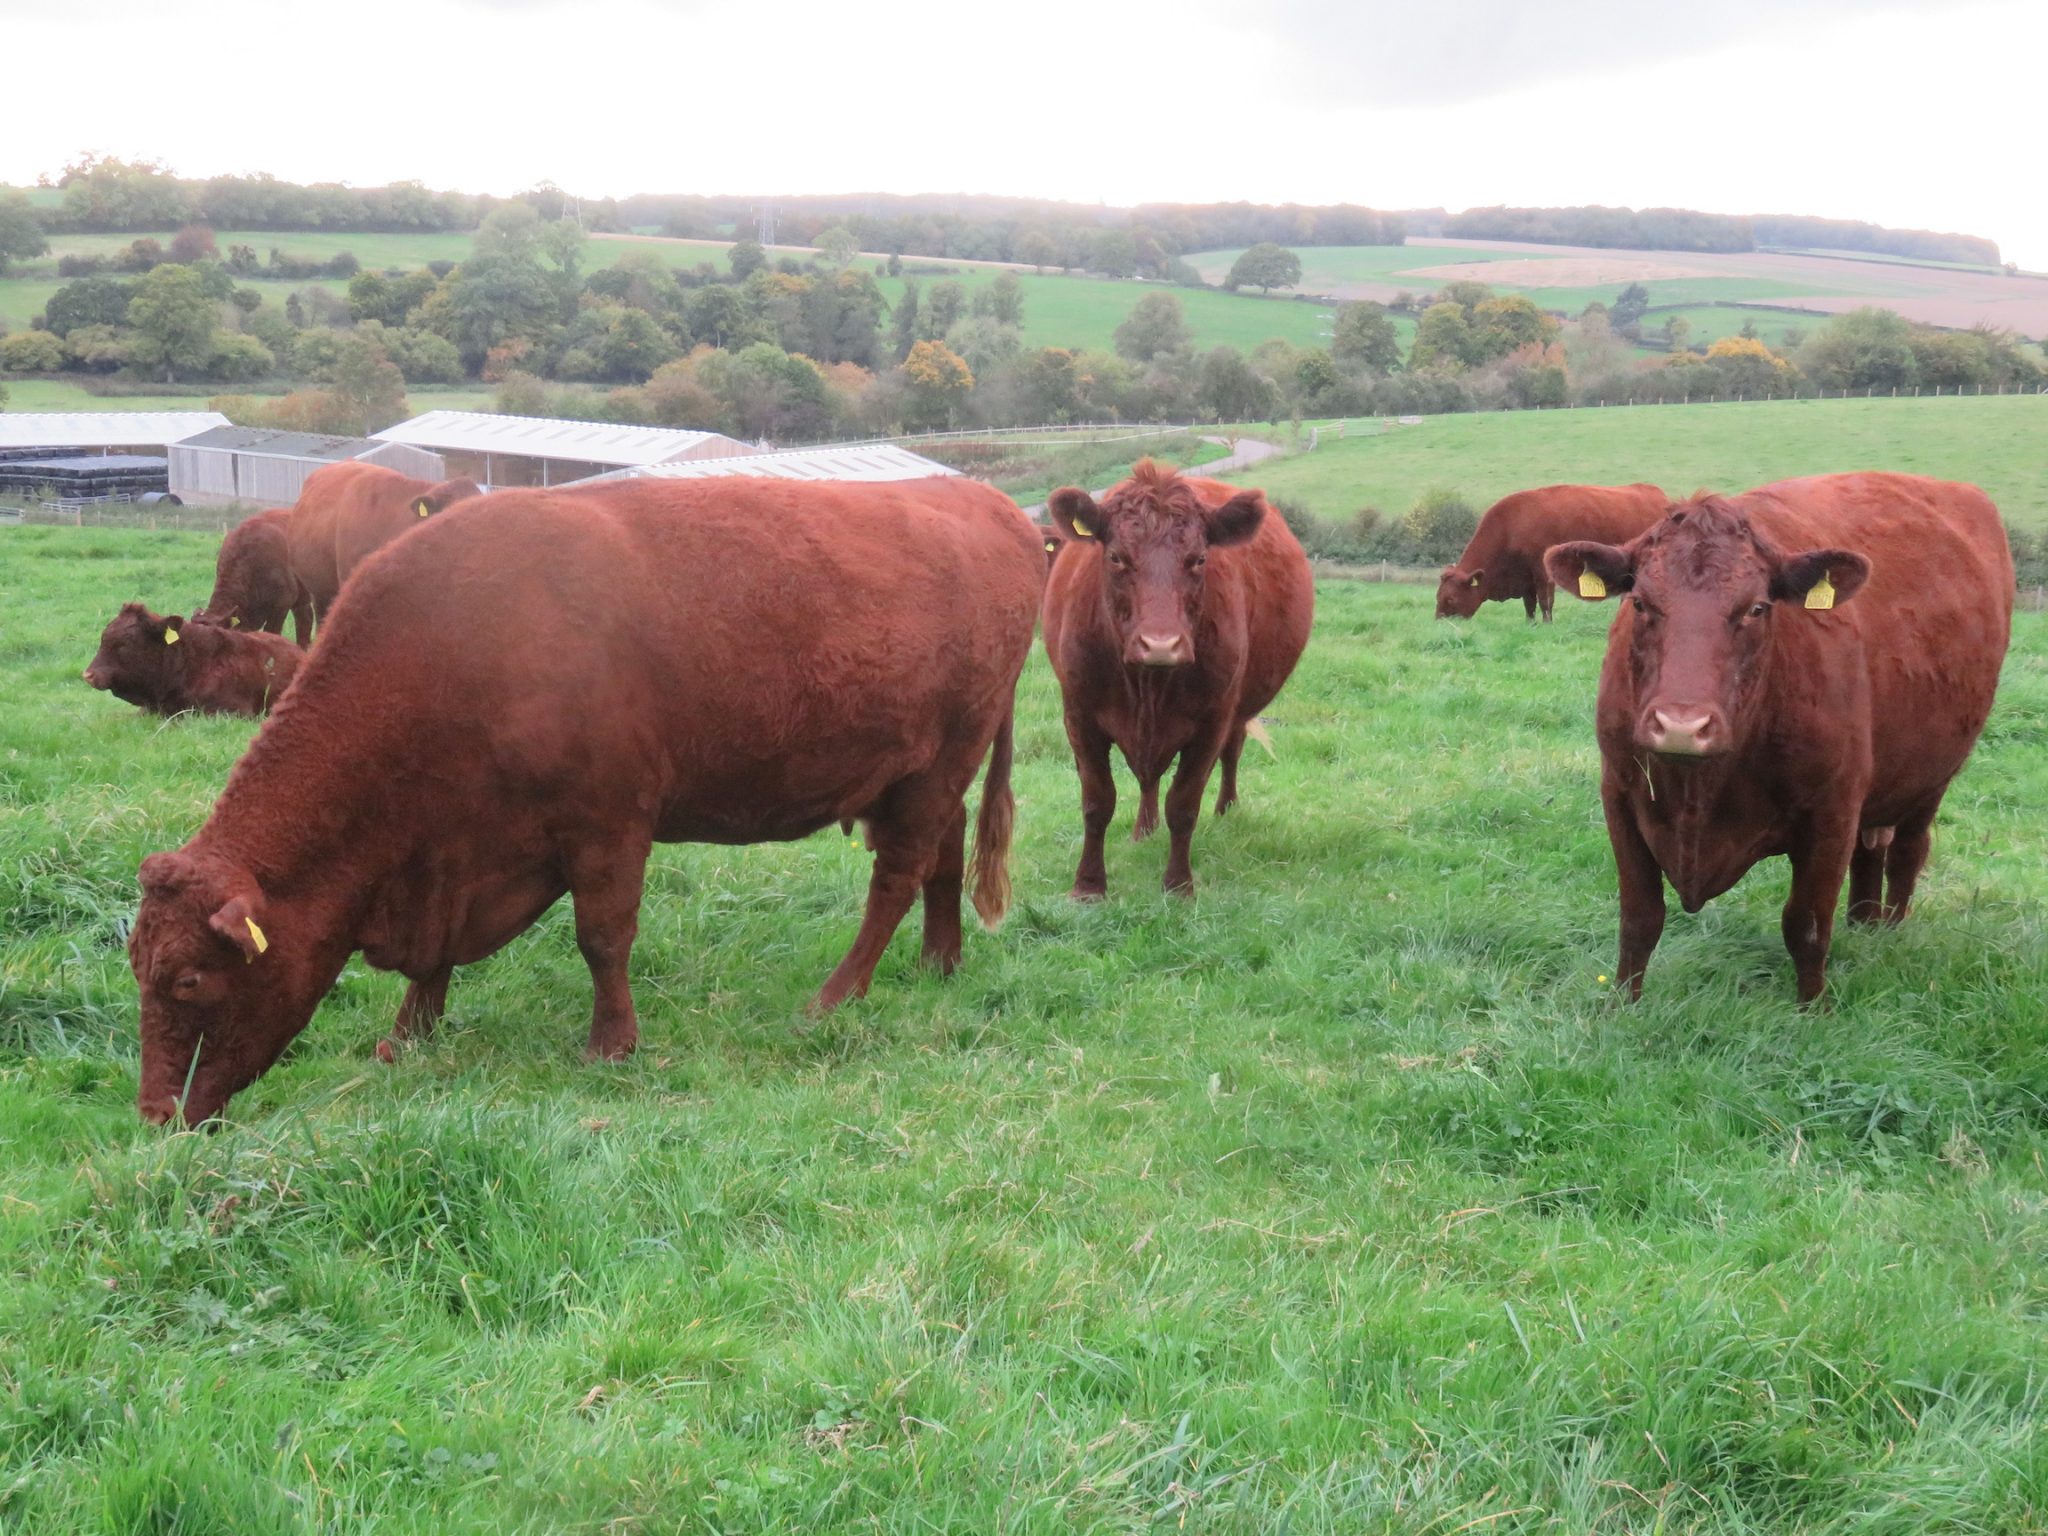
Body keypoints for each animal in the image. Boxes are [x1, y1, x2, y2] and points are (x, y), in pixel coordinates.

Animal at [1041, 459, 1313, 898]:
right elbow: (1097, 801)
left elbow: (1184, 805)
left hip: (1237, 712)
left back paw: (1226, 812)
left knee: (1231, 755)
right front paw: (1088, 886)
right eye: (1116, 557)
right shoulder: (1079, 715)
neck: (1146, 687)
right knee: (1147, 781)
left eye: (1199, 558)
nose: (1160, 645)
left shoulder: (1212, 721)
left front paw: (1178, 885)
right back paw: (1143, 830)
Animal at [1437, 483, 1667, 621]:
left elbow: (1544, 601)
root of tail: (1657, 495)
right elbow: (1529, 605)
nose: (1439, 622)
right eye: (1438, 596)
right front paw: (1531, 624)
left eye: (1451, 598)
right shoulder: (1526, 577)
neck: (1511, 526)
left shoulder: (1542, 572)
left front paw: (1547, 623)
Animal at [1544, 472, 2012, 1003]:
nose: (1682, 725)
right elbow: (1640, 918)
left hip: (1930, 780)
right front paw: (1623, 1004)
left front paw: (1814, 1009)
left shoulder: (1831, 812)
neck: (1699, 792)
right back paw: (1864, 926)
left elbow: (1806, 925)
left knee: (1907, 853)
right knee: (1871, 852)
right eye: (1640, 602)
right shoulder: (1621, 797)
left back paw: (1890, 933)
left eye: (1757, 608)